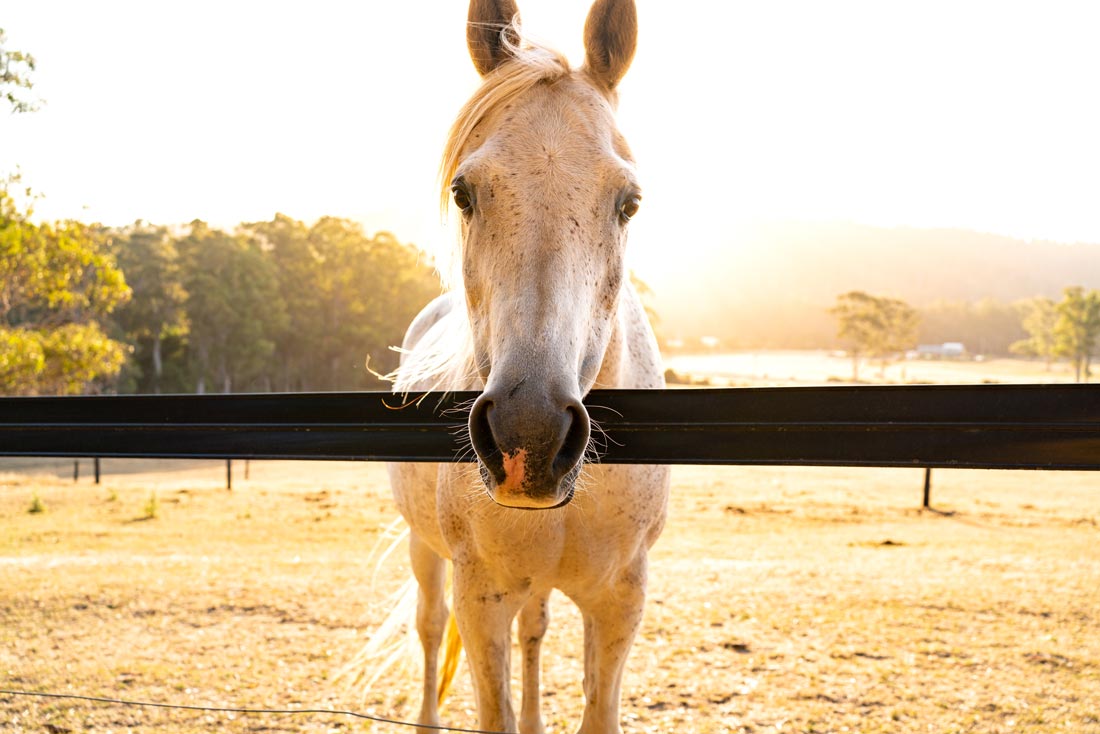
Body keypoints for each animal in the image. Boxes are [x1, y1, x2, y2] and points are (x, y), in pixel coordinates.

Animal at [386, 1, 670, 731]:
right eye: (464, 193)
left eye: (629, 202)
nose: (529, 438)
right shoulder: (480, 596)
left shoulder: (620, 602)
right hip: (427, 555)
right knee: (429, 629)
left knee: (535, 631)